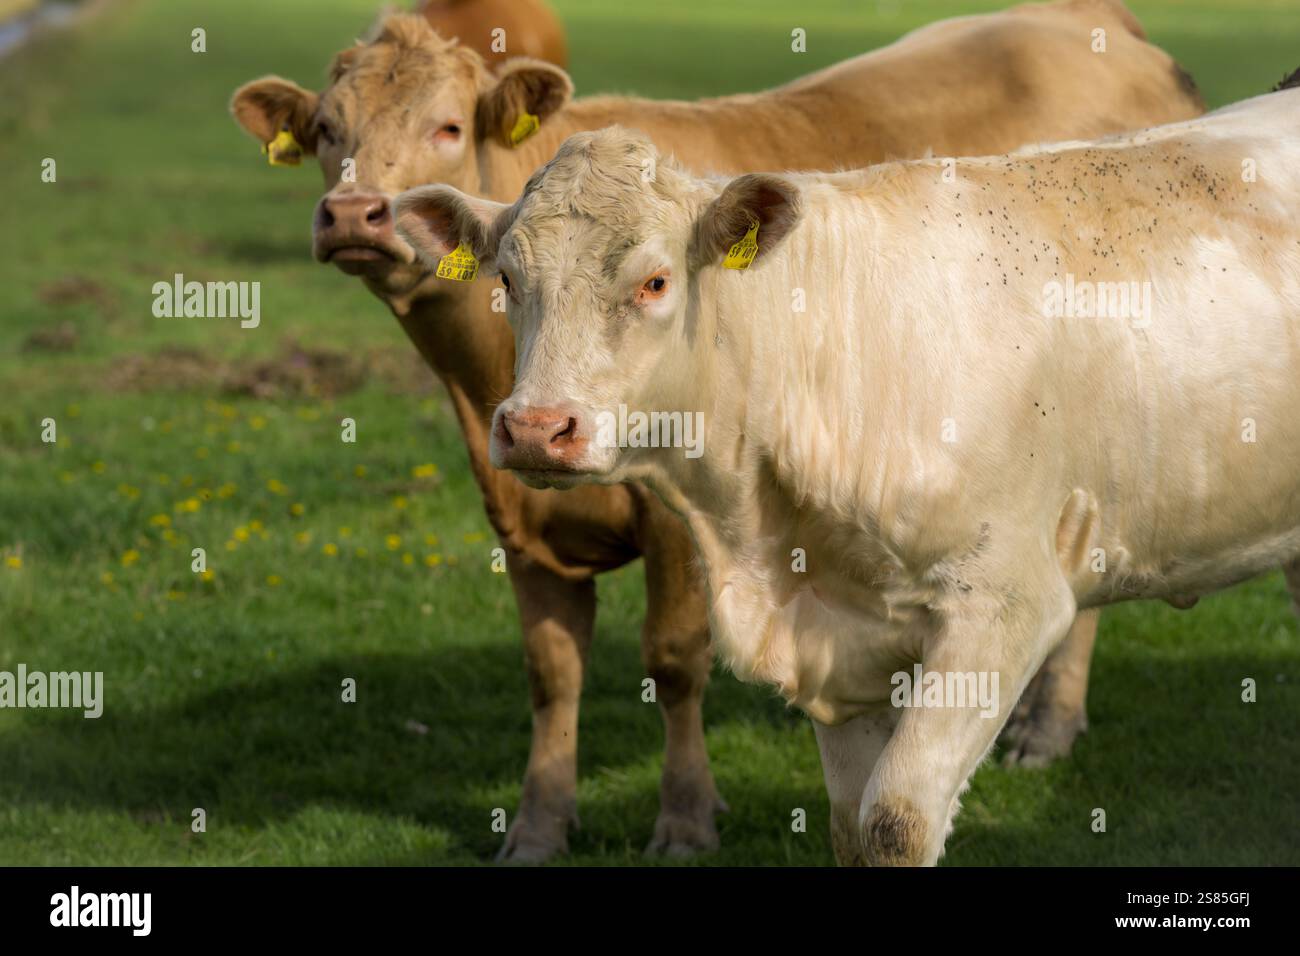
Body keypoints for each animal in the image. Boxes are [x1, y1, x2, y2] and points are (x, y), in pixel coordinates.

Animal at [230, 0, 1203, 860]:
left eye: (446, 127)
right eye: (326, 130)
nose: (355, 216)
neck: (483, 377)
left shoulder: (680, 518)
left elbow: (673, 661)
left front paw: (688, 818)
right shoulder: (518, 514)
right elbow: (551, 673)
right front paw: (538, 828)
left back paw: (1049, 726)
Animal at [395, 85, 1300, 865]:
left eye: (654, 282)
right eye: (507, 280)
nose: (536, 428)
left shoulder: (1004, 607)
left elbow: (895, 820)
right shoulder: (836, 635)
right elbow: (848, 827)